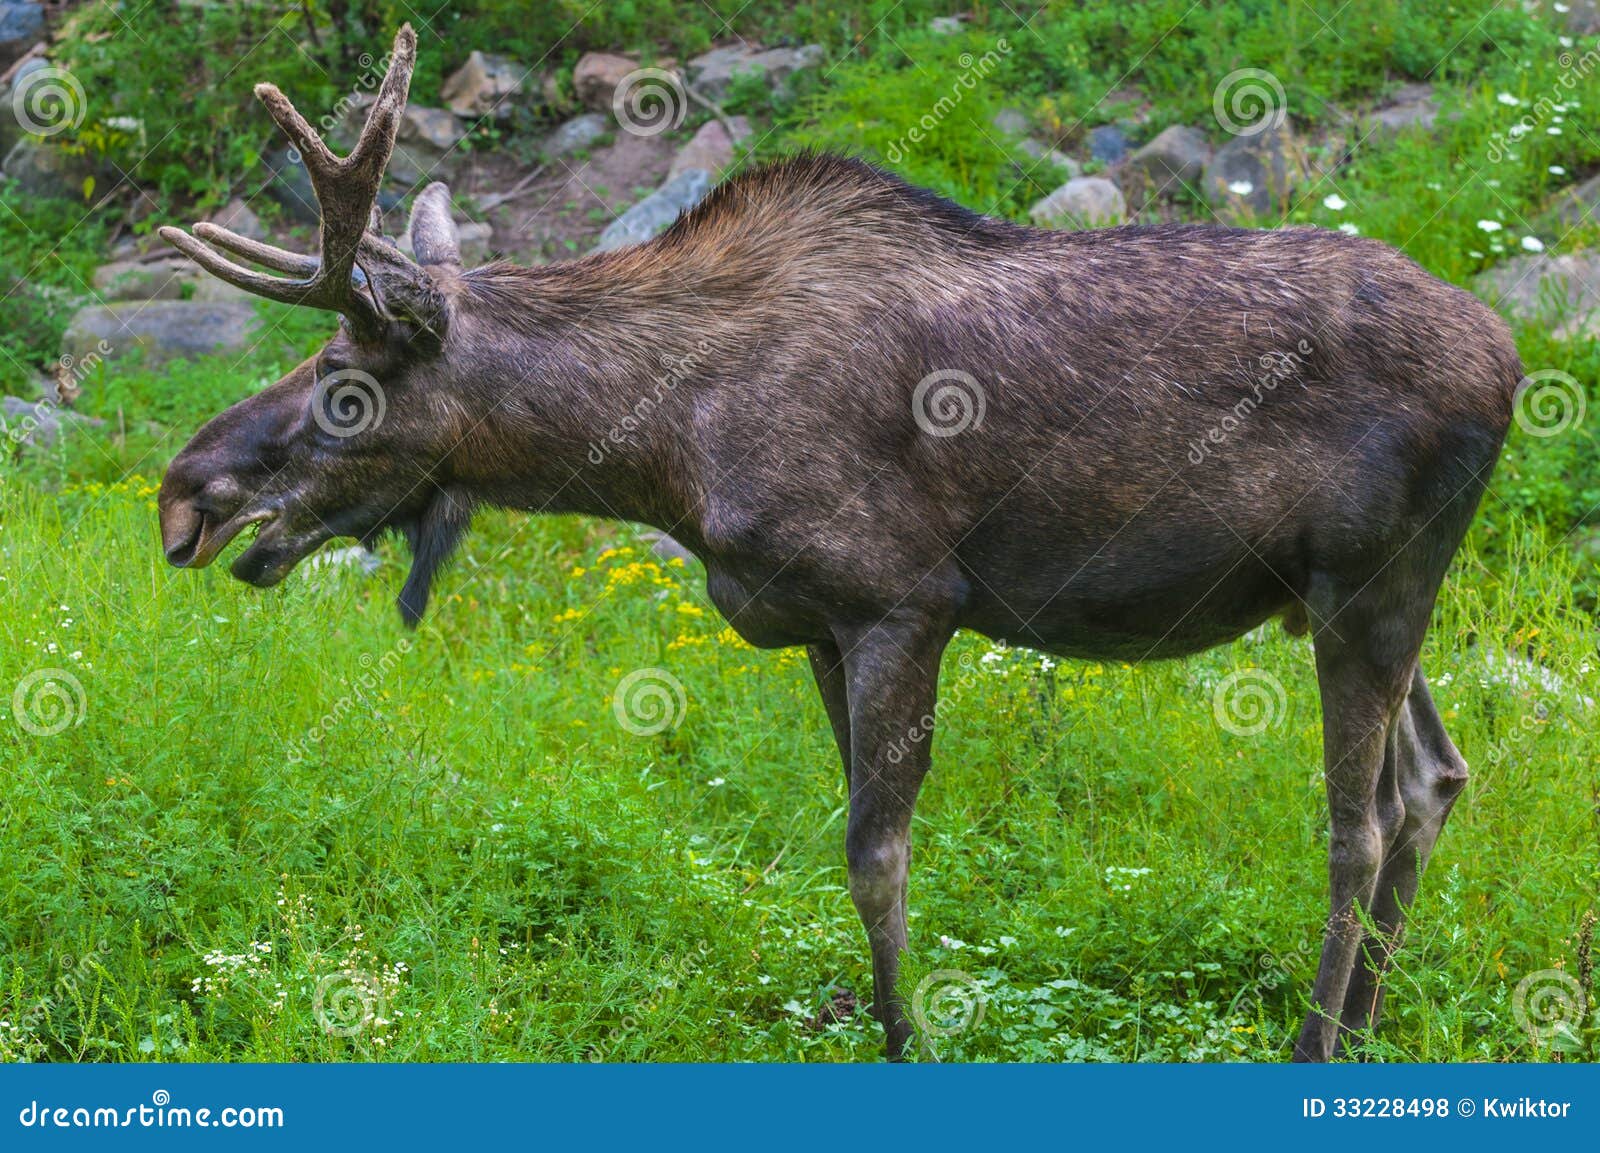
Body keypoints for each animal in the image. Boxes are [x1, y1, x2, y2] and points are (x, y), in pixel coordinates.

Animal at [157, 26, 1521, 1062]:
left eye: (343, 385)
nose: (185, 495)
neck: (664, 452)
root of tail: (1511, 359)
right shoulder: (813, 624)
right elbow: (852, 843)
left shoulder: (901, 602)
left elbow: (877, 856)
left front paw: (905, 1043)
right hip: (1349, 594)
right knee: (1433, 777)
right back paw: (1369, 1025)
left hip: (1369, 583)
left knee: (1359, 821)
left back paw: (1317, 1043)